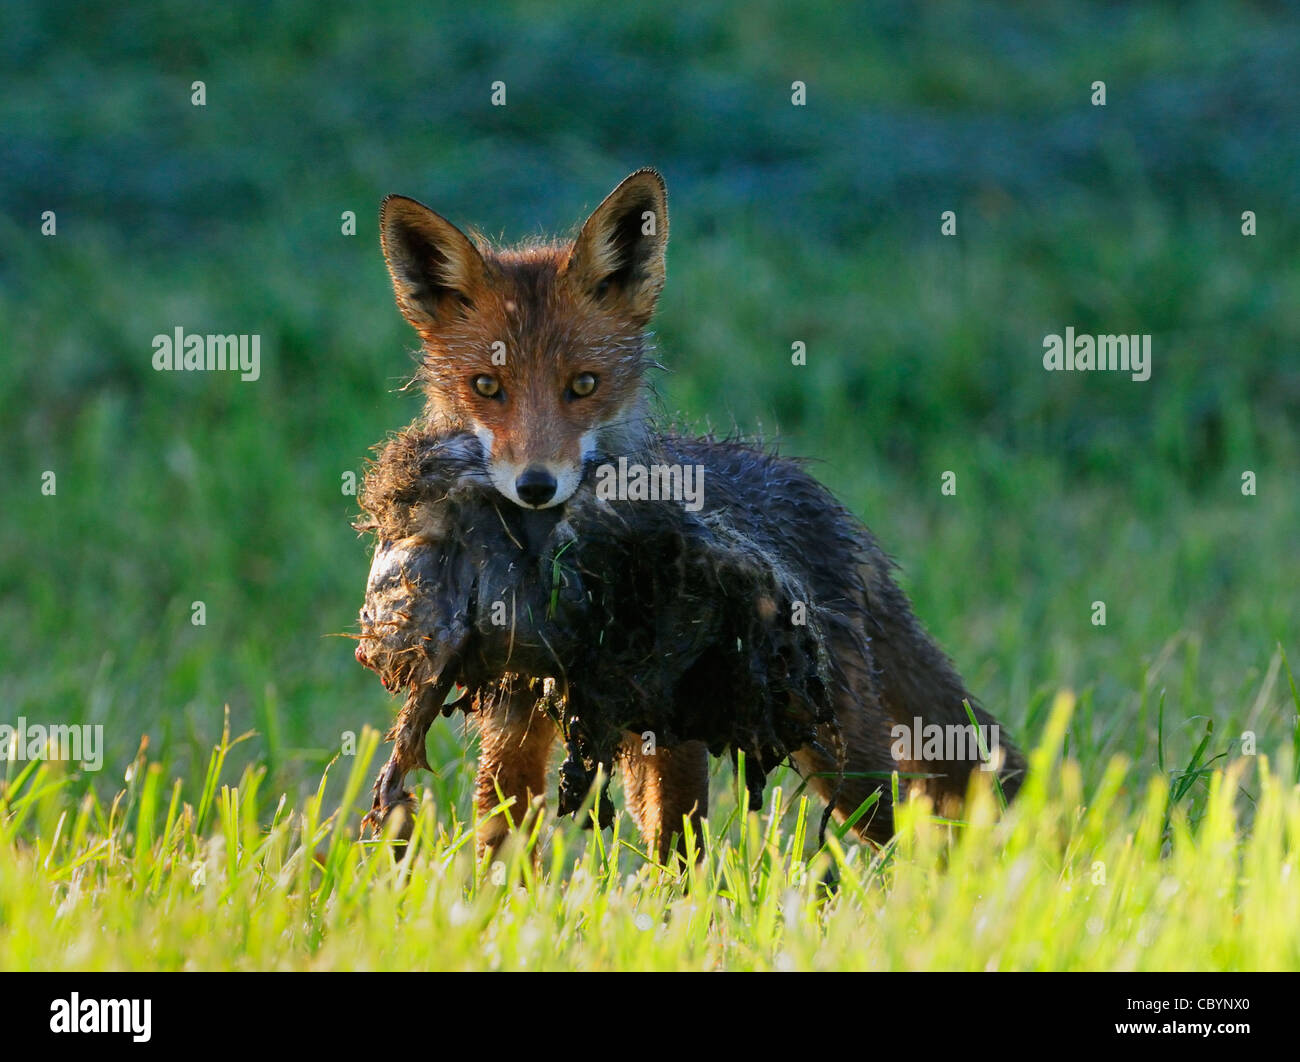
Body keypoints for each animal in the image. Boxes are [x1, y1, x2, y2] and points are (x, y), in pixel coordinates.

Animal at [368, 168, 1025, 863]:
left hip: (834, 753)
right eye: (486, 388)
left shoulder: (673, 719)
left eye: (584, 385)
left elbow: (678, 851)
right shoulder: (513, 720)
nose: (536, 487)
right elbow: (503, 848)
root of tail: (829, 506)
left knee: (904, 830)